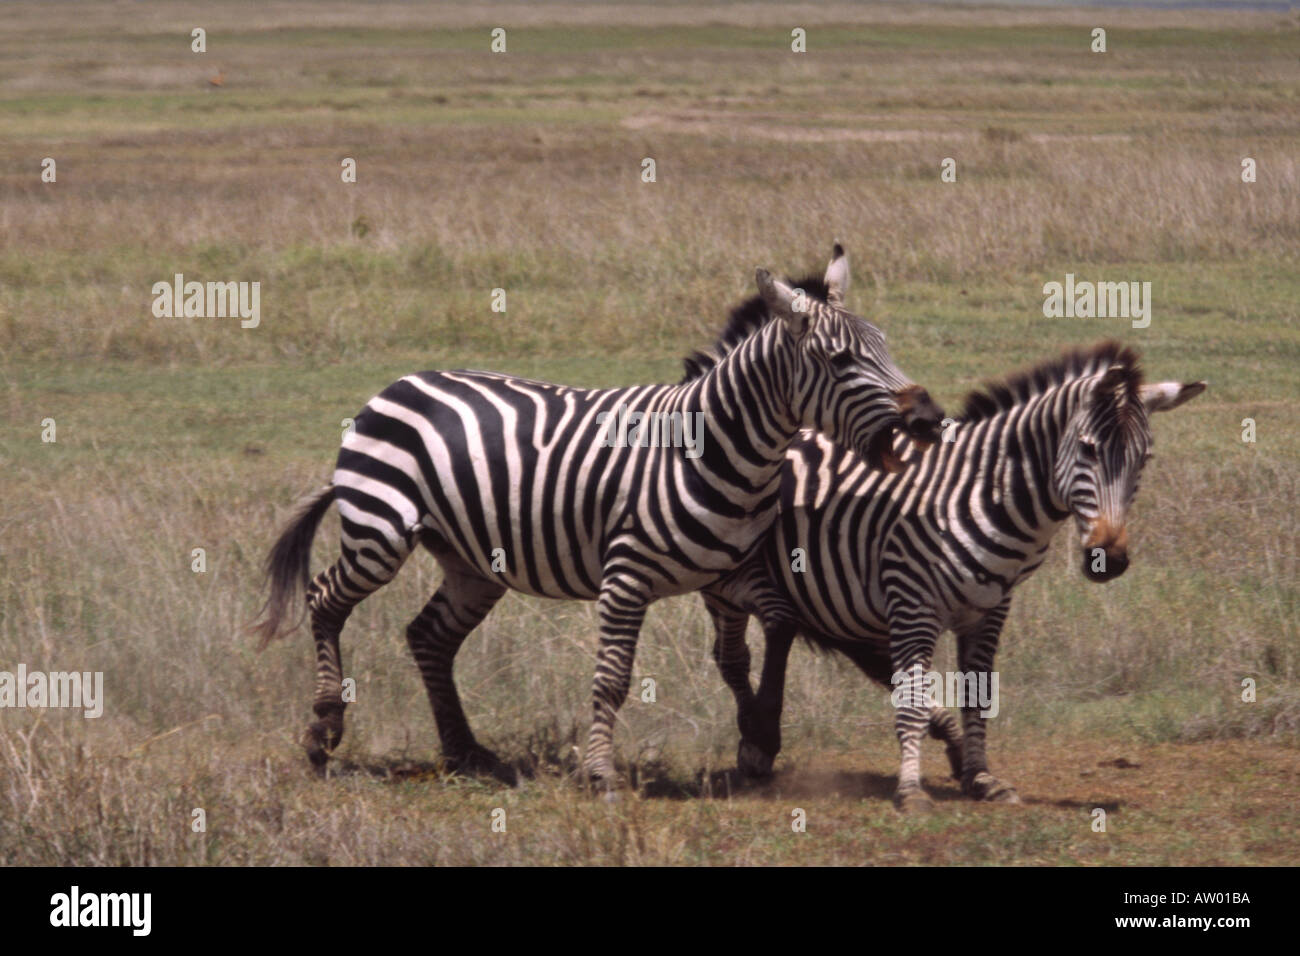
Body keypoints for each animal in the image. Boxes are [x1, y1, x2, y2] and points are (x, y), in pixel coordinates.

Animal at [252, 247, 945, 787]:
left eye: (885, 347)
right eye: (842, 361)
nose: (928, 419)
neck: (713, 448)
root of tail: (397, 384)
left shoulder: (730, 576)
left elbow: (772, 632)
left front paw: (758, 735)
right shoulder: (627, 574)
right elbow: (613, 676)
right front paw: (602, 774)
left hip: (472, 562)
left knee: (429, 636)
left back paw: (466, 752)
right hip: (381, 530)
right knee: (324, 600)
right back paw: (323, 733)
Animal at [697, 342, 1205, 810]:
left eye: (1145, 458)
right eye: (1087, 449)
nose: (1110, 559)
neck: (980, 495)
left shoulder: (989, 609)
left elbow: (976, 694)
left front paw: (981, 776)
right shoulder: (911, 601)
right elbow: (910, 701)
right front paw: (910, 790)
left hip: (840, 600)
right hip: (727, 587)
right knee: (734, 656)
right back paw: (757, 741)